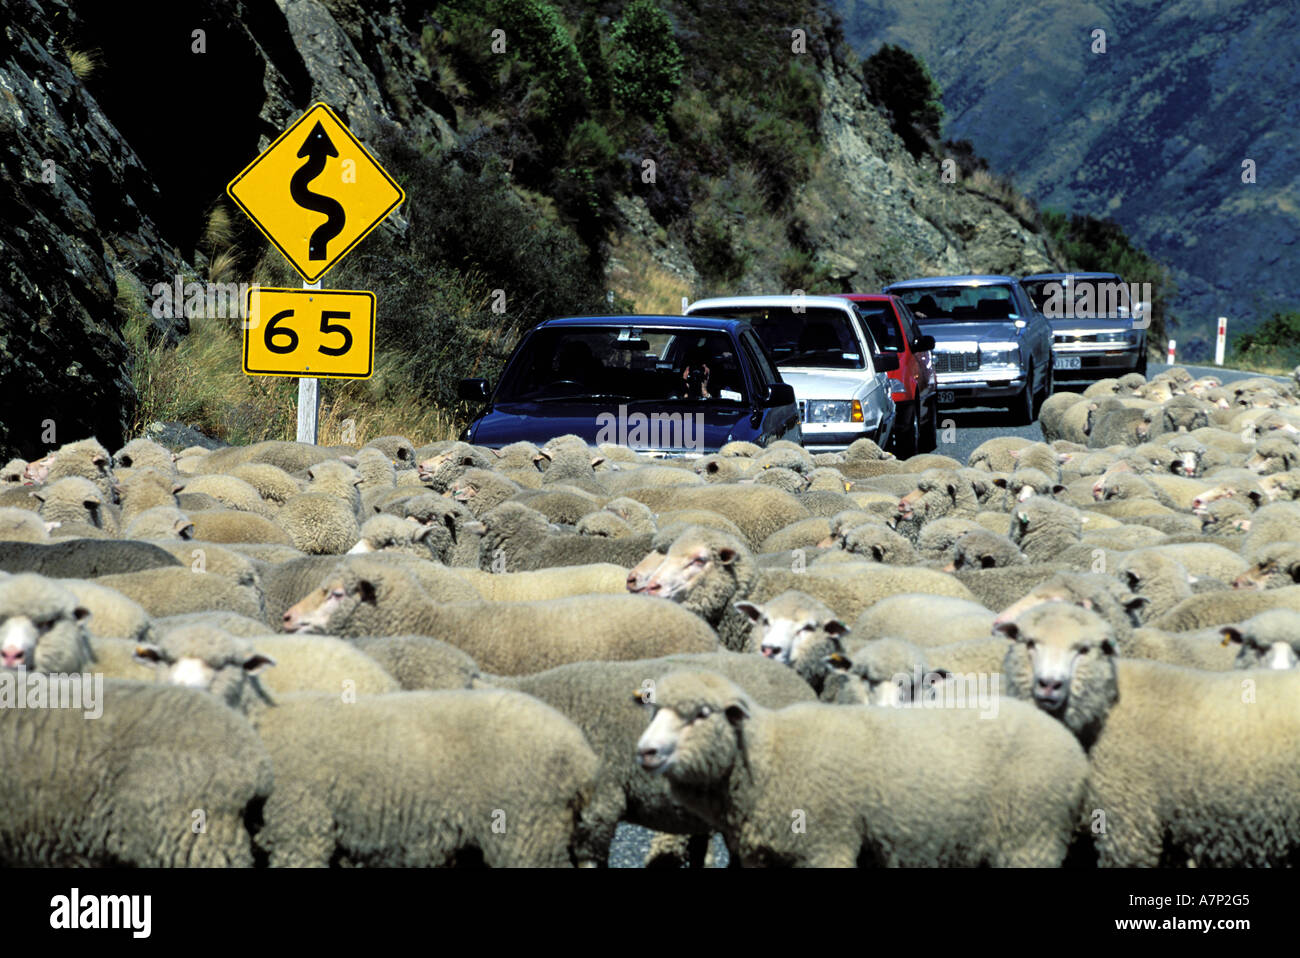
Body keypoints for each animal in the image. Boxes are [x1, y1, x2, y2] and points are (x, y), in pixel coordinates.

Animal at [135, 627, 597, 867]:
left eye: (228, 664)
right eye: (165, 659)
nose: (186, 692)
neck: (263, 726)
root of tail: (581, 753)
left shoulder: (302, 830)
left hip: (526, 830)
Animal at [634, 669, 1087, 867]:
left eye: (702, 714)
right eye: (653, 710)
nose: (646, 751)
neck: (768, 757)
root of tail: (1071, 746)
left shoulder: (826, 847)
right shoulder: (761, 857)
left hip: (1031, 837)